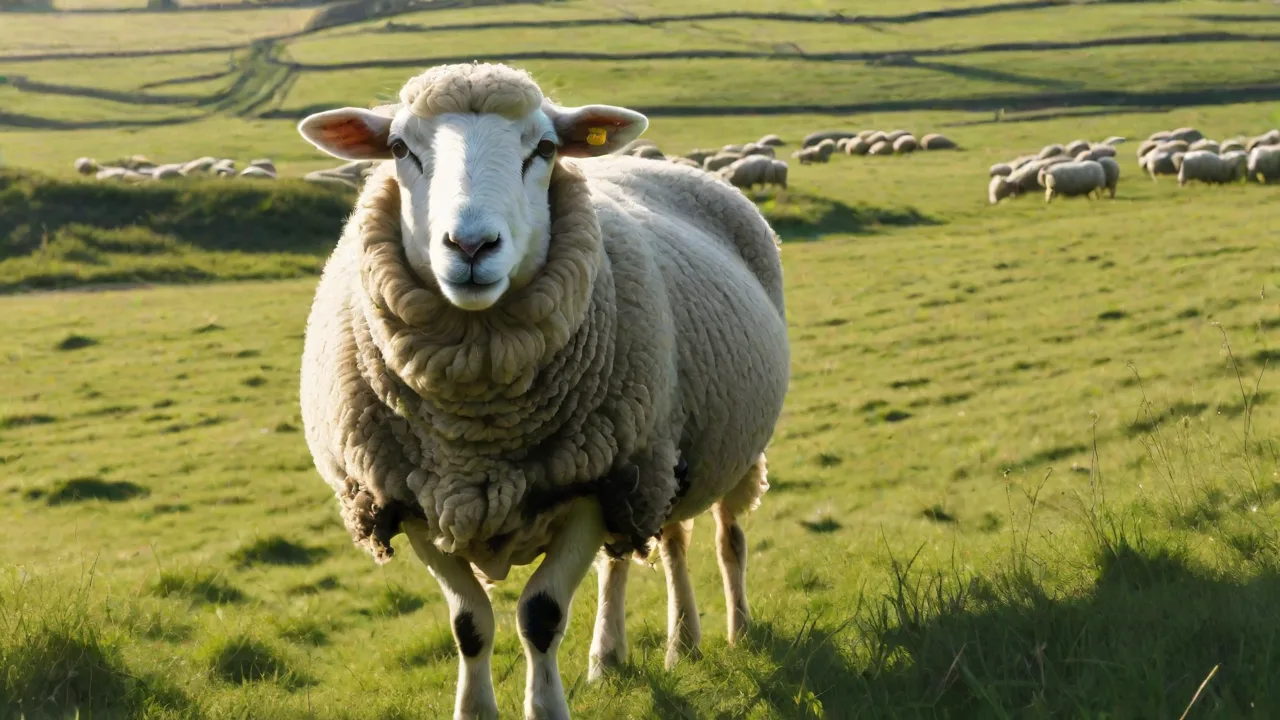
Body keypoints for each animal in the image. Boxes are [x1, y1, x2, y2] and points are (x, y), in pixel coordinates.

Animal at [295, 62, 789, 720]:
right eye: (399, 148)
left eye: (546, 149)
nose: (471, 247)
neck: (479, 431)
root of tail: (685, 170)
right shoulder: (408, 496)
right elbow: (469, 622)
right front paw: (476, 709)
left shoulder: (587, 487)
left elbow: (541, 615)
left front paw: (547, 705)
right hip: (651, 463)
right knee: (653, 549)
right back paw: (643, 651)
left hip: (712, 451)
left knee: (726, 538)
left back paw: (735, 630)